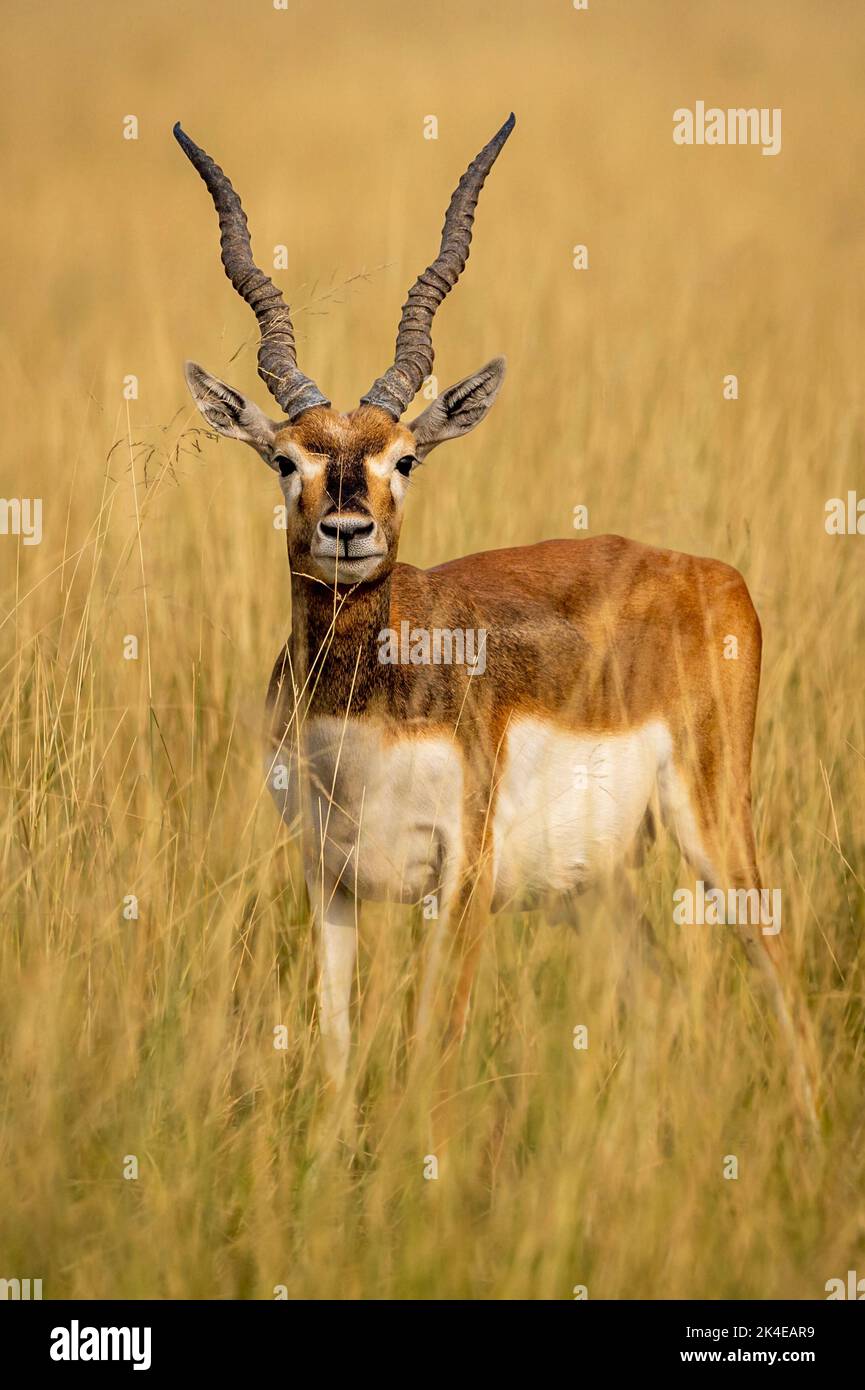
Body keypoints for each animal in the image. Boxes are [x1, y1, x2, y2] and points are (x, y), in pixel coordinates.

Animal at [174, 115, 816, 1120]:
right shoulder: (327, 878)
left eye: (404, 458)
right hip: (593, 886)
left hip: (714, 829)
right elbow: (336, 1042)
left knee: (785, 980)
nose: (347, 532)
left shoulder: (461, 875)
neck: (366, 709)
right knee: (659, 997)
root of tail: (712, 574)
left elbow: (434, 1048)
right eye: (285, 459)